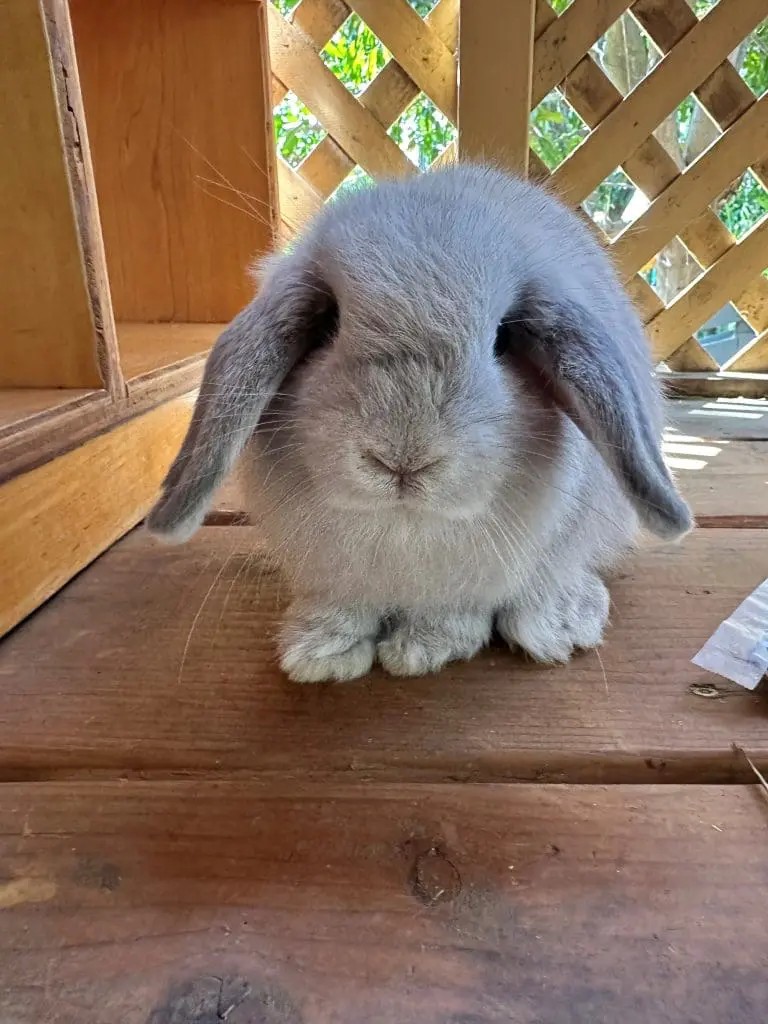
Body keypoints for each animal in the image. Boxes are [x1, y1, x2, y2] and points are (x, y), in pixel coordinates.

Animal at [147, 163, 692, 683]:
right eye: (327, 323)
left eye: (503, 339)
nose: (401, 460)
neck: (404, 530)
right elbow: (344, 608)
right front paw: (322, 653)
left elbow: (454, 611)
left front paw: (422, 650)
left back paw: (558, 624)